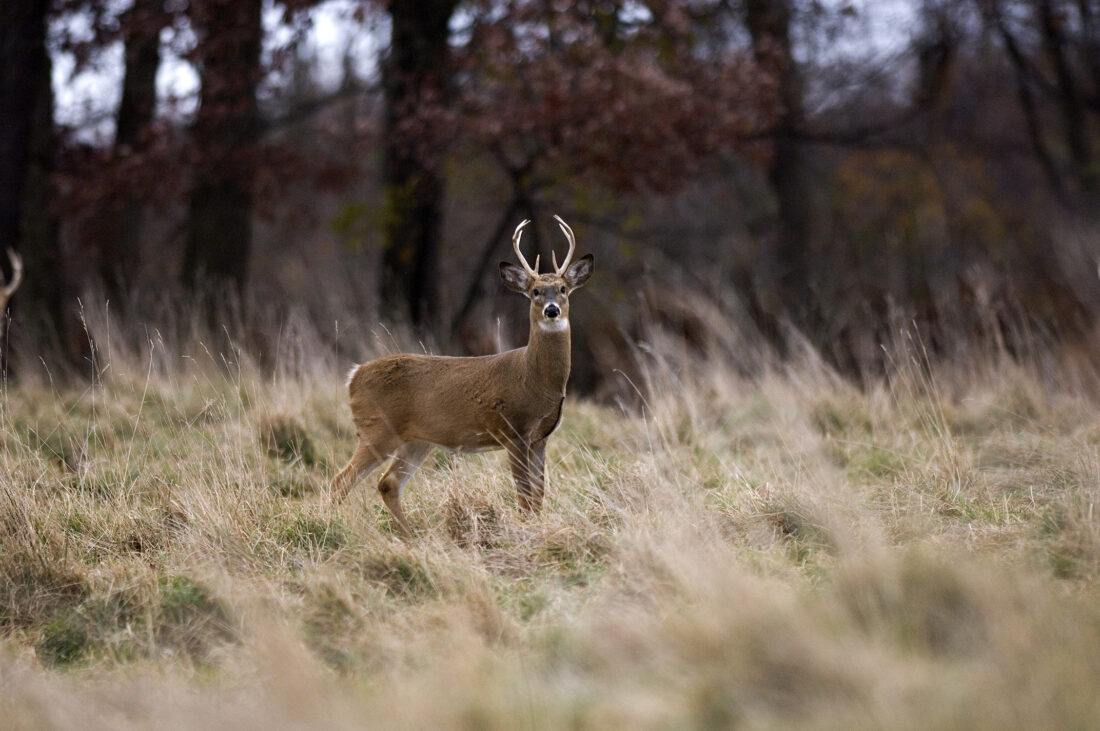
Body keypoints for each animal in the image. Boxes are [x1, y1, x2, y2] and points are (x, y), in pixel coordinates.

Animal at [330, 216, 594, 537]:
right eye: (535, 292)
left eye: (563, 288)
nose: (552, 310)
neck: (534, 379)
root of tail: (354, 375)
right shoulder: (513, 430)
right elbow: (524, 495)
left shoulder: (541, 438)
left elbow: (538, 495)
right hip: (376, 429)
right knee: (340, 481)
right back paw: (334, 527)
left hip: (417, 440)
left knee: (388, 483)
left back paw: (410, 537)